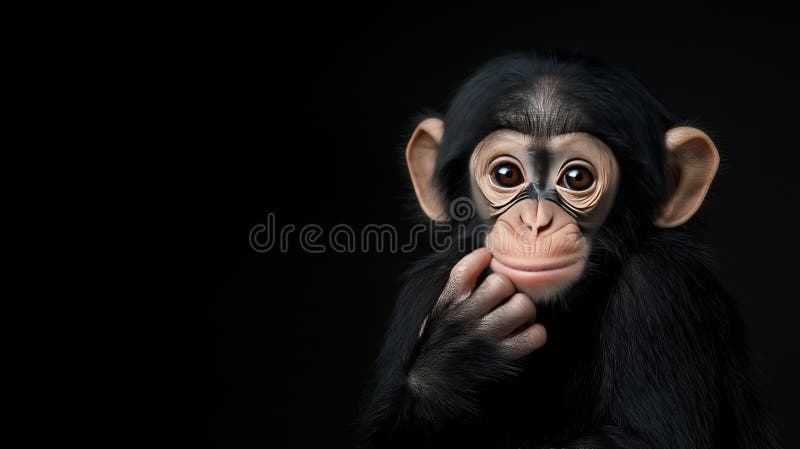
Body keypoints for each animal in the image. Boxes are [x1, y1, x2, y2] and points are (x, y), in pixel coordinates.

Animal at [356, 52, 781, 449]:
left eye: (577, 178)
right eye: (506, 175)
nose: (536, 223)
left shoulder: (661, 285)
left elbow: (647, 439)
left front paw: (460, 347)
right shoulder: (424, 290)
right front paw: (451, 354)